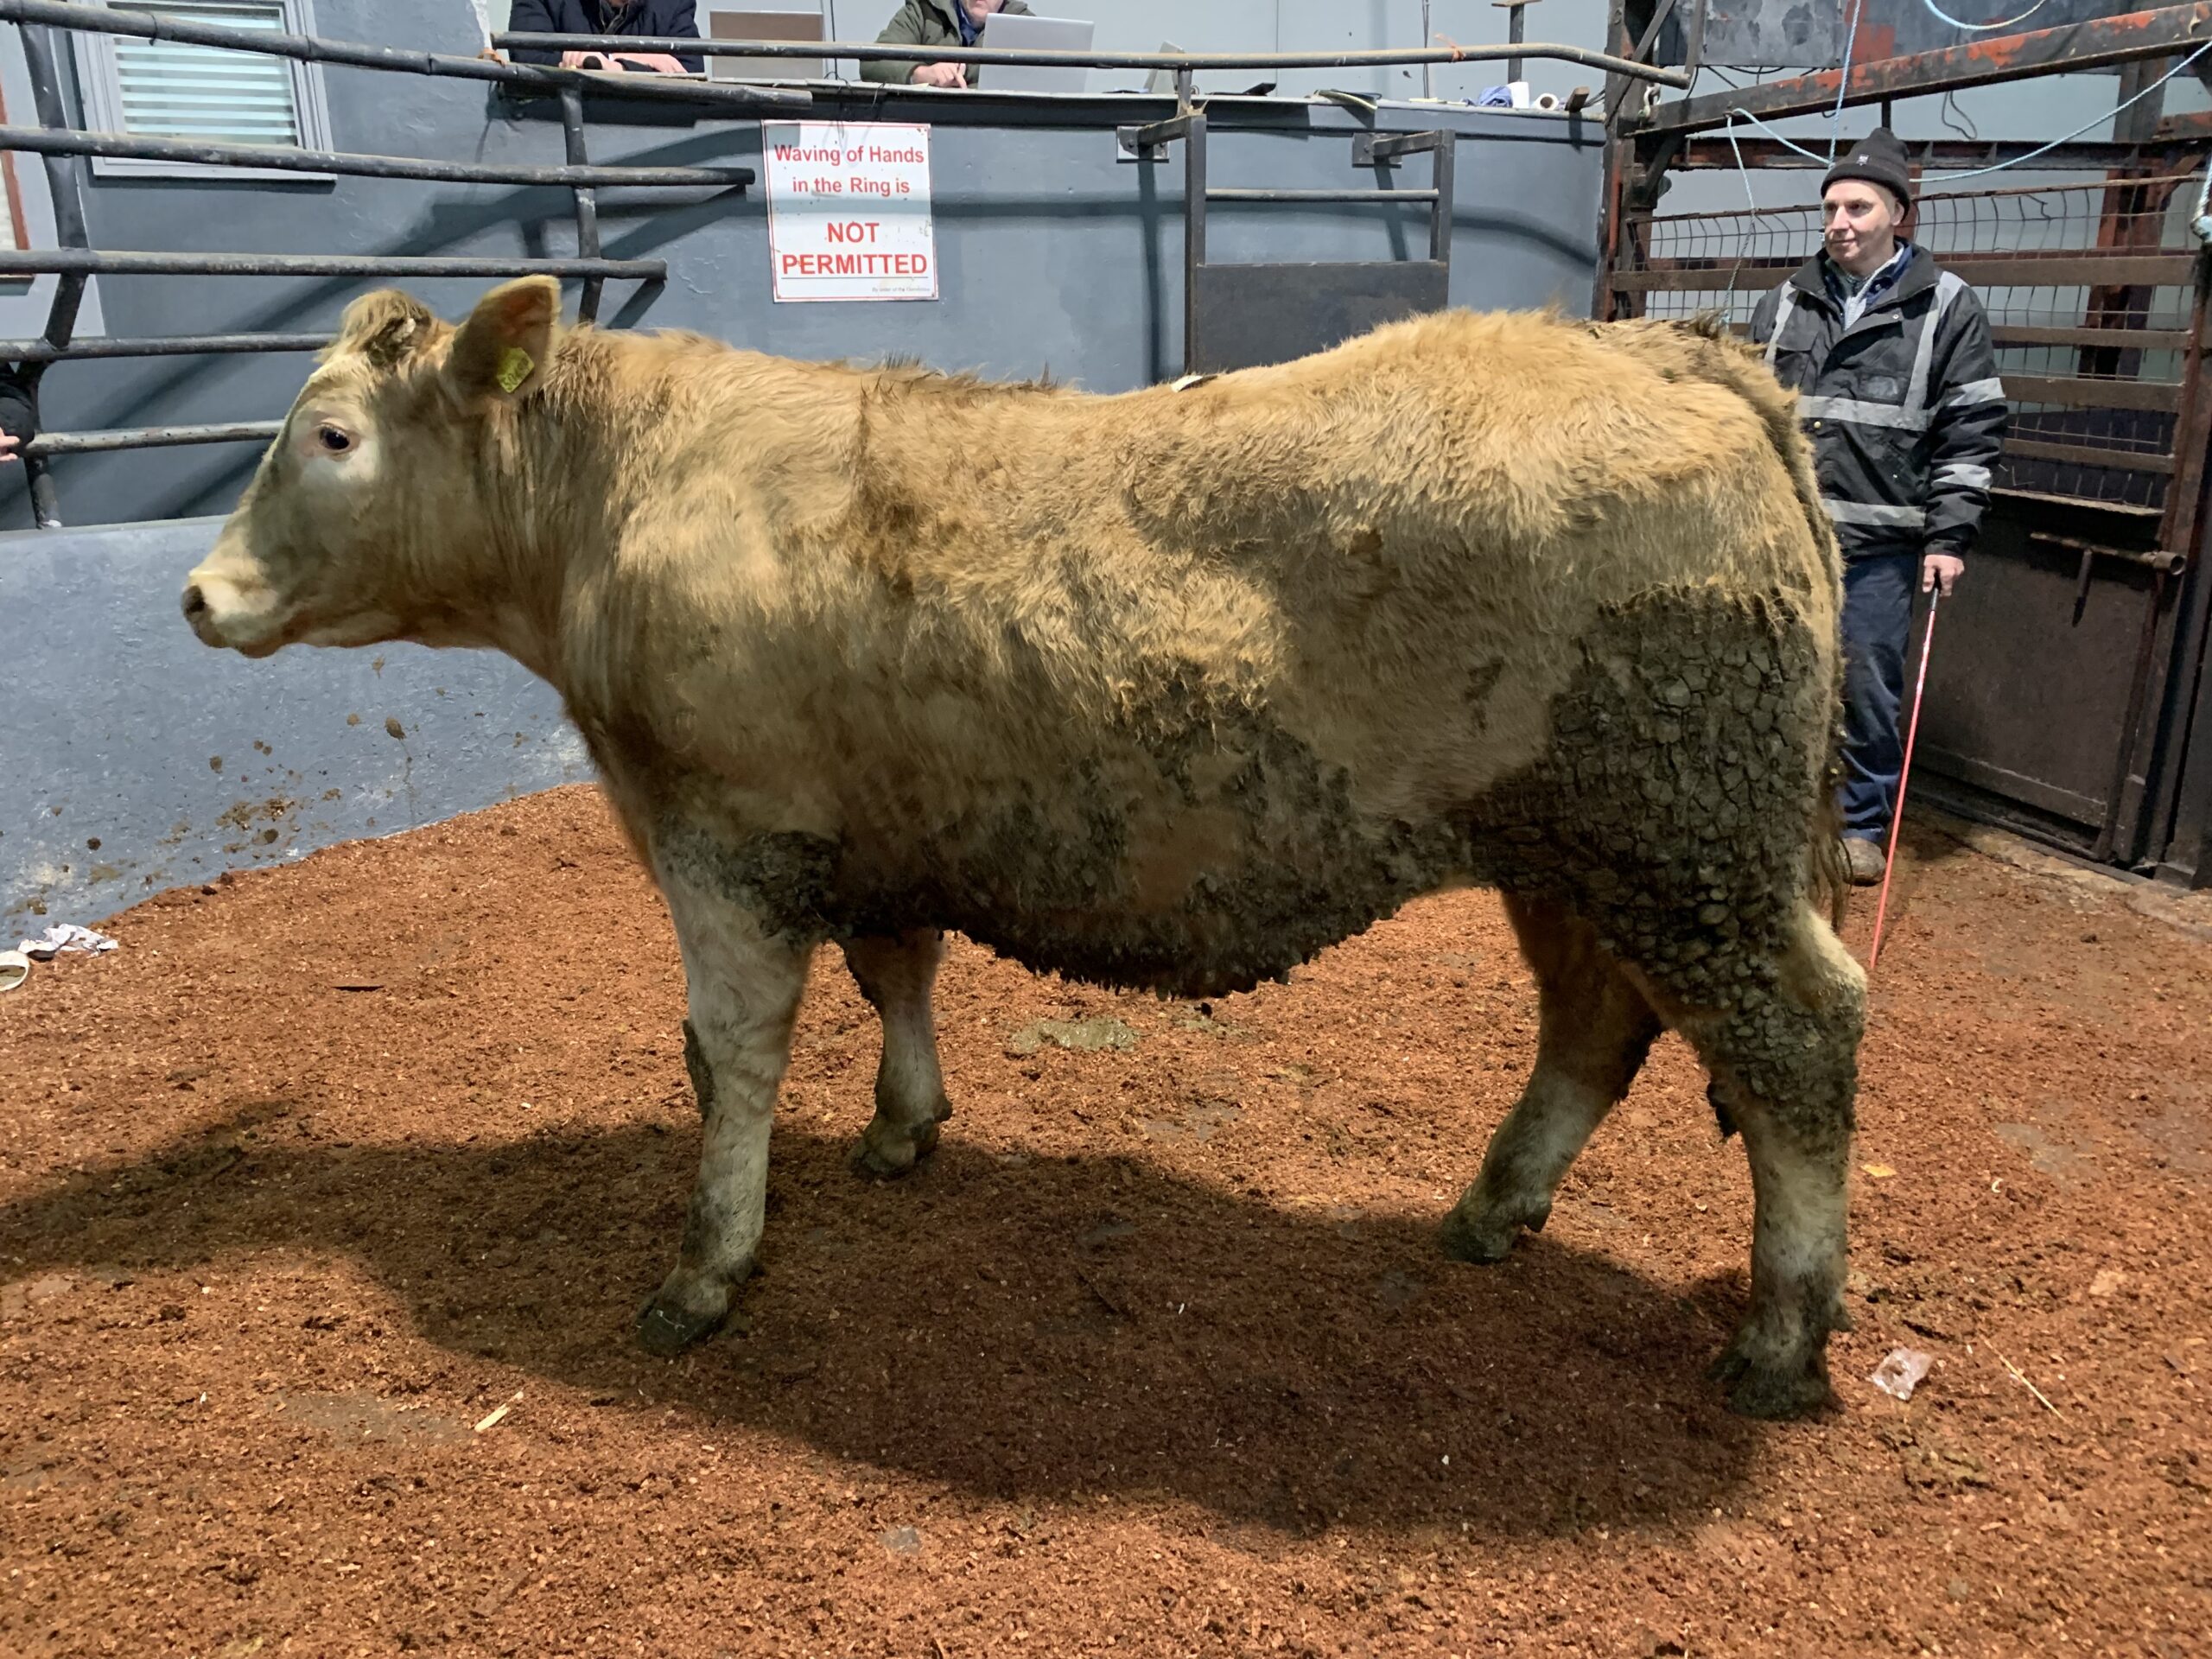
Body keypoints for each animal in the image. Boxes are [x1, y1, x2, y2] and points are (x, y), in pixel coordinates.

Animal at [182, 277, 1865, 1417]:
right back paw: (1492, 1212)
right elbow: (896, 970)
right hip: (1582, 854)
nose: (198, 594)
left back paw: (1781, 1337)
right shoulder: (870, 826)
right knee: (1593, 1026)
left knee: (1799, 1043)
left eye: (329, 435)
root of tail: (1658, 345)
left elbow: (728, 1055)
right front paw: (902, 1127)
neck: (624, 494)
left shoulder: (723, 831)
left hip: (1690, 846)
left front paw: (707, 1268)